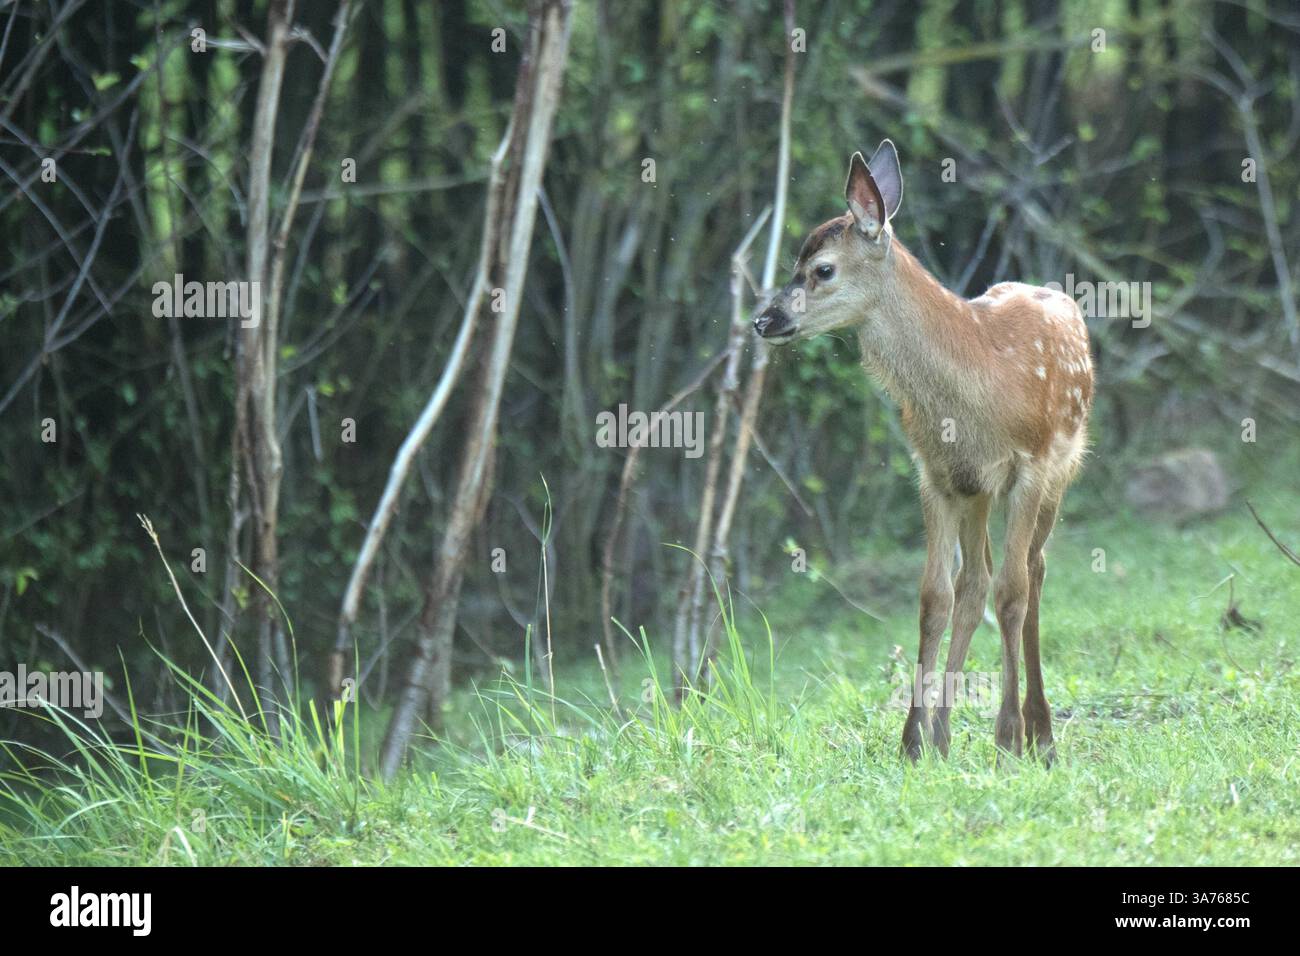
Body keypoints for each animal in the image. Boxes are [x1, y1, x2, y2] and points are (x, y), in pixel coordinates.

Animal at [753, 140, 1094, 764]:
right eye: (793, 265)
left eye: (821, 269)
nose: (765, 320)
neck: (977, 381)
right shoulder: (935, 475)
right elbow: (935, 596)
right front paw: (914, 740)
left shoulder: (1031, 465)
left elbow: (1013, 593)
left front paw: (1008, 737)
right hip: (976, 490)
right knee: (974, 582)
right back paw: (947, 731)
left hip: (1063, 466)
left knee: (1032, 572)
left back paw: (1039, 731)